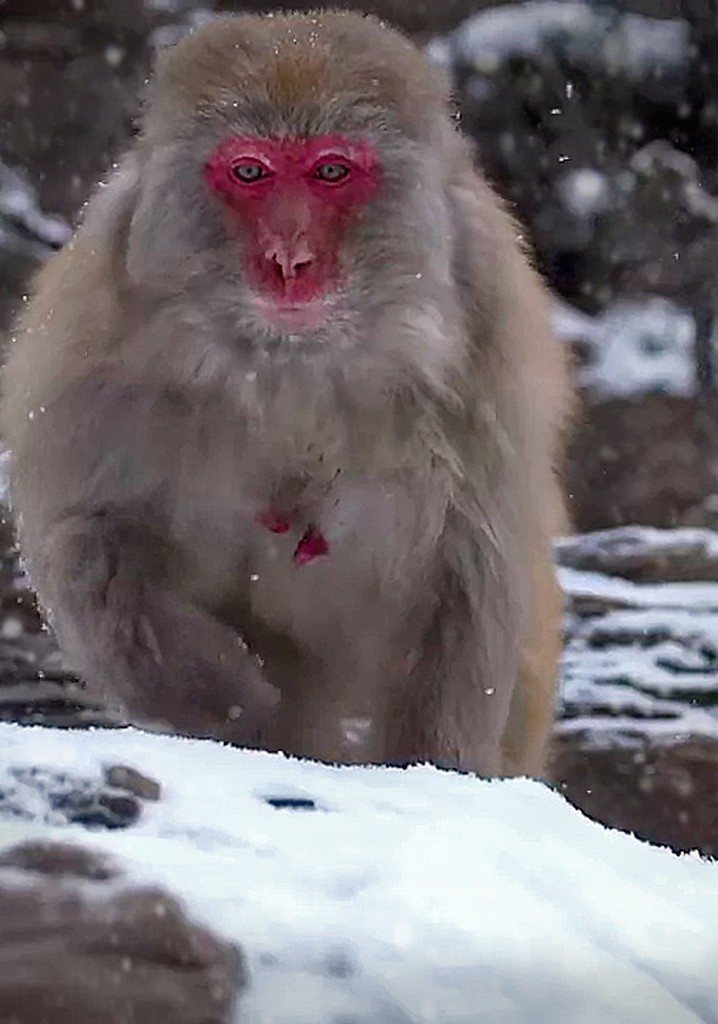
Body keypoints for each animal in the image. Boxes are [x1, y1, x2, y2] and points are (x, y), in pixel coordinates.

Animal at [0, 11, 571, 777]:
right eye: (251, 172)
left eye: (331, 171)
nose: (290, 259)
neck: (291, 369)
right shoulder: (90, 383)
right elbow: (85, 547)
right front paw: (232, 696)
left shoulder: (486, 396)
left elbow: (467, 590)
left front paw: (437, 772)